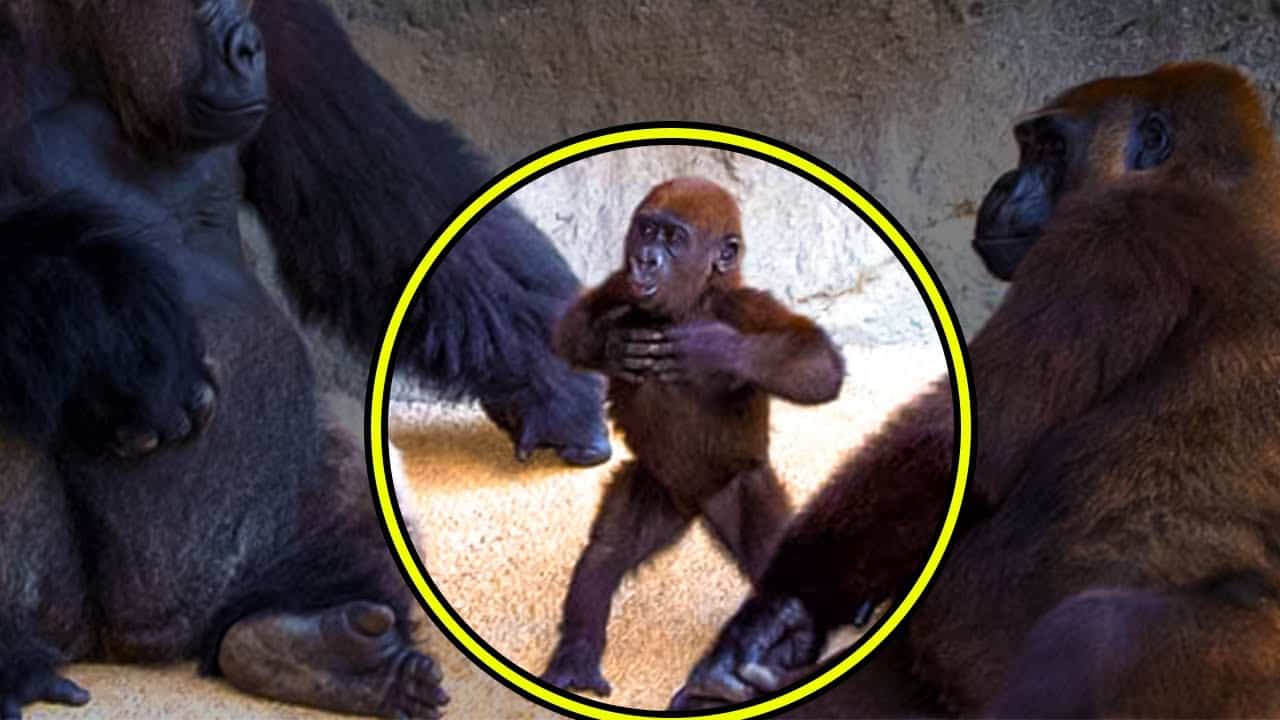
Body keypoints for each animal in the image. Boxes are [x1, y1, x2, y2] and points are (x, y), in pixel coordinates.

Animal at [542, 177, 845, 697]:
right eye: (646, 230)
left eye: (674, 239)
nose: (646, 259)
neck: (689, 303)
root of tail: (697, 506)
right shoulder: (621, 286)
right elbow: (570, 327)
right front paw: (613, 342)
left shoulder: (742, 306)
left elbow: (817, 363)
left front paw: (713, 351)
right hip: (657, 487)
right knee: (606, 553)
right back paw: (576, 658)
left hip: (739, 485)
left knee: (776, 562)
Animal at [671, 62, 1280, 717]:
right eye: (1029, 147)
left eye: (1050, 149)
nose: (1002, 188)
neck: (1223, 181)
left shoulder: (1120, 231)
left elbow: (961, 451)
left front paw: (779, 609)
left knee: (1100, 632)